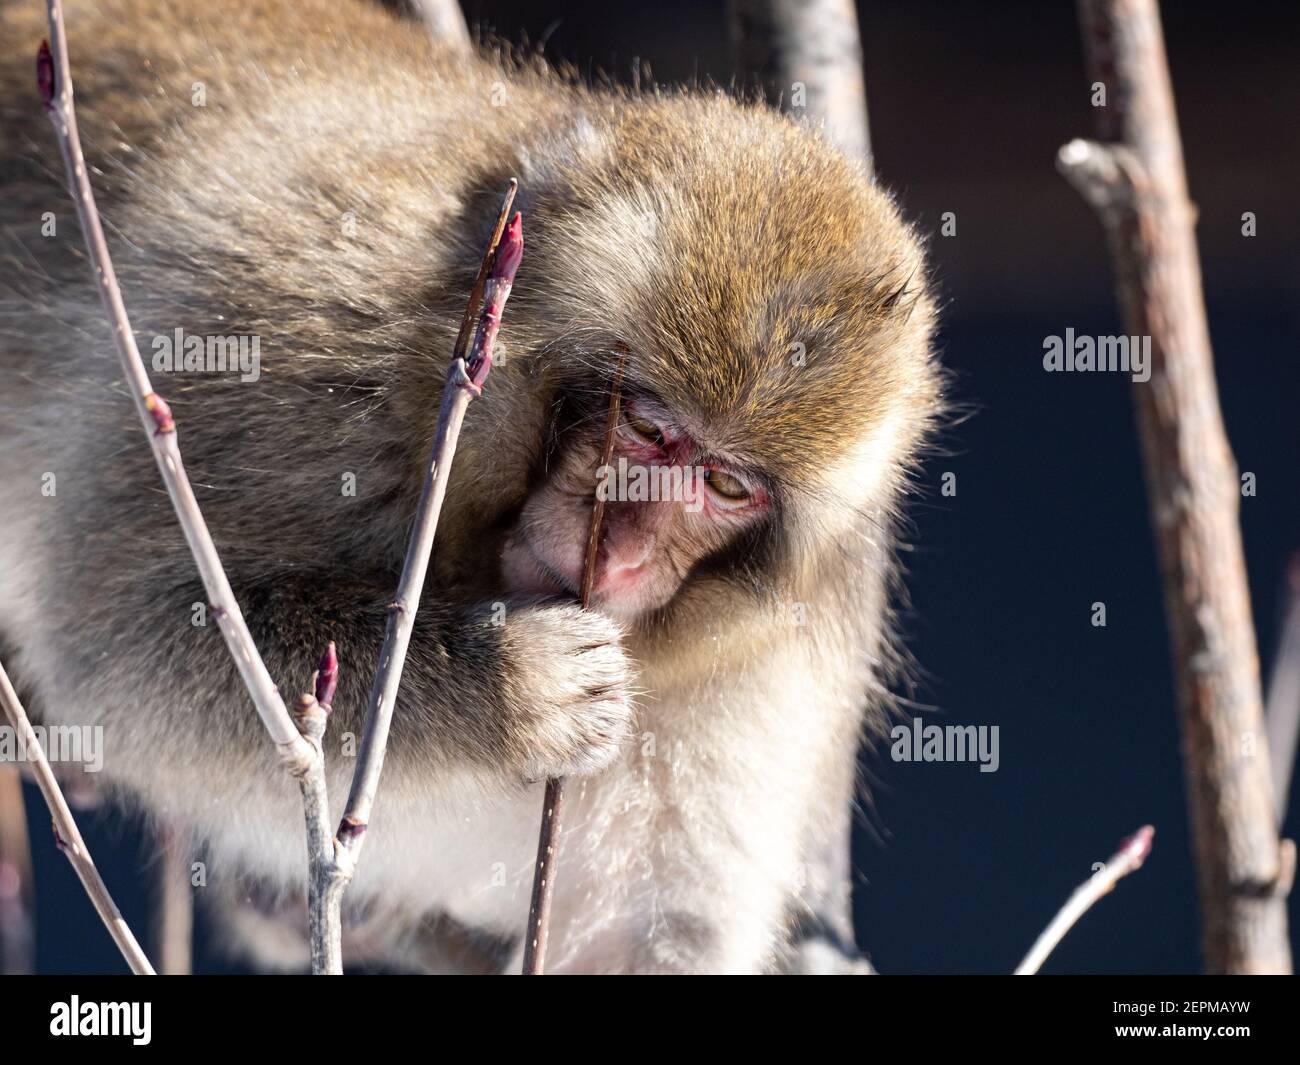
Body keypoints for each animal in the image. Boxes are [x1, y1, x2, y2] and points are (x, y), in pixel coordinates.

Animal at [0, 0, 942, 973]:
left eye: (724, 483)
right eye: (648, 429)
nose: (627, 550)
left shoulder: (776, 662)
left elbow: (665, 926)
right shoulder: (298, 342)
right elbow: (118, 637)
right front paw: (513, 683)